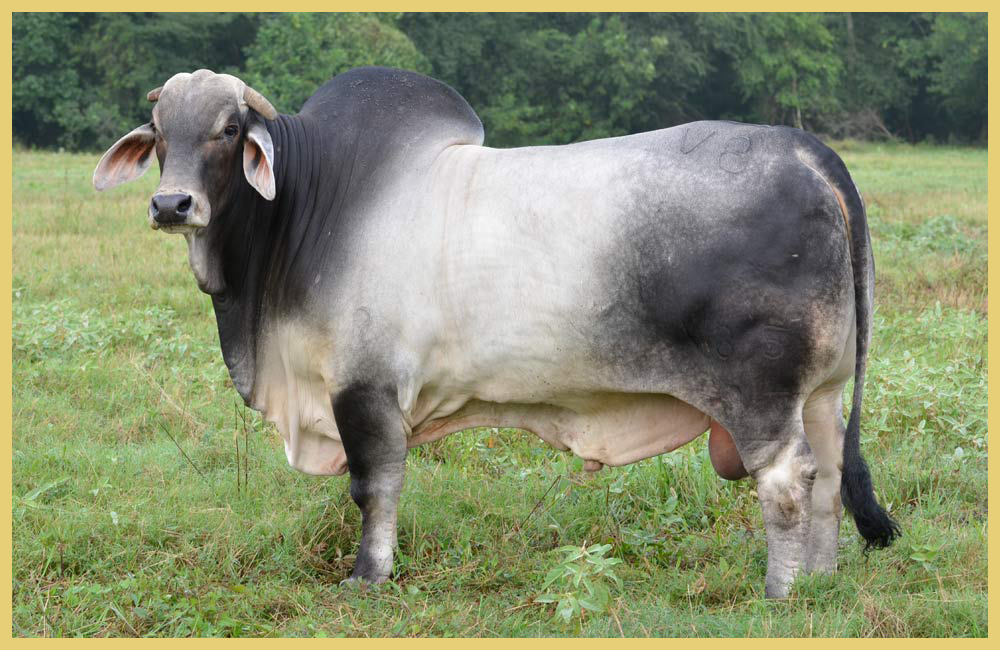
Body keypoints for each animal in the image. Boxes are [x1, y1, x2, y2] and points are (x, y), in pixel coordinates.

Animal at [93, 67, 899, 598]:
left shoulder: (365, 387)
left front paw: (367, 577)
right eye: (160, 135)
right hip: (821, 391)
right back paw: (821, 585)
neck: (307, 208)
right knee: (830, 475)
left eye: (229, 130)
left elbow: (374, 486)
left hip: (761, 391)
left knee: (788, 481)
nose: (172, 204)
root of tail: (806, 151)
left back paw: (780, 593)